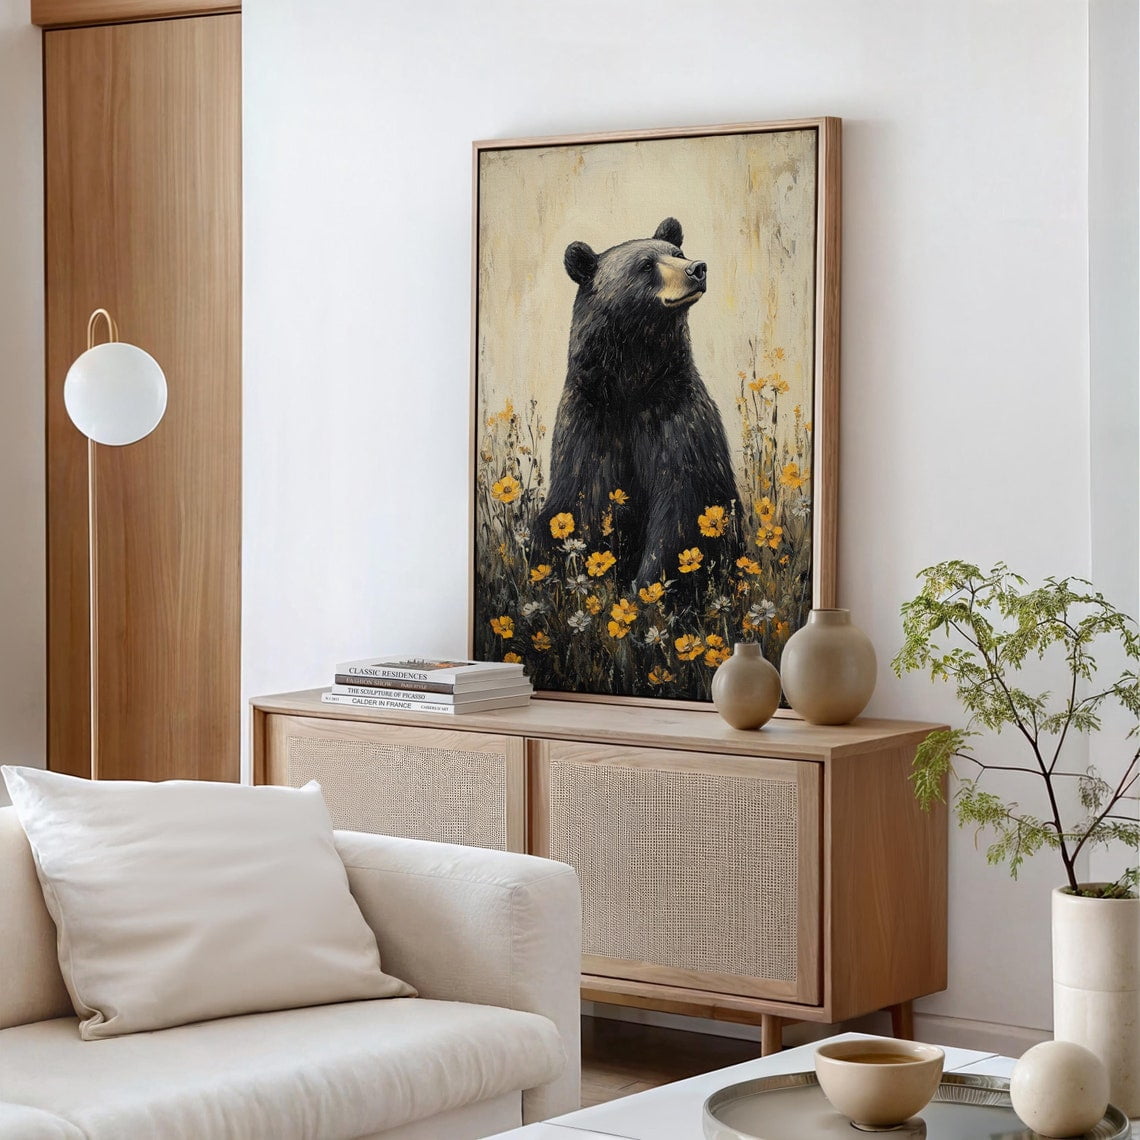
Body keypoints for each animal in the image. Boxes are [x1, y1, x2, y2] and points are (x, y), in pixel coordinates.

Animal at [532, 217, 742, 596]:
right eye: (645, 265)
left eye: (677, 253)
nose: (697, 268)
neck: (632, 381)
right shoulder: (591, 421)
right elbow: (584, 500)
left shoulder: (676, 413)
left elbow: (682, 505)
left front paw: (648, 590)